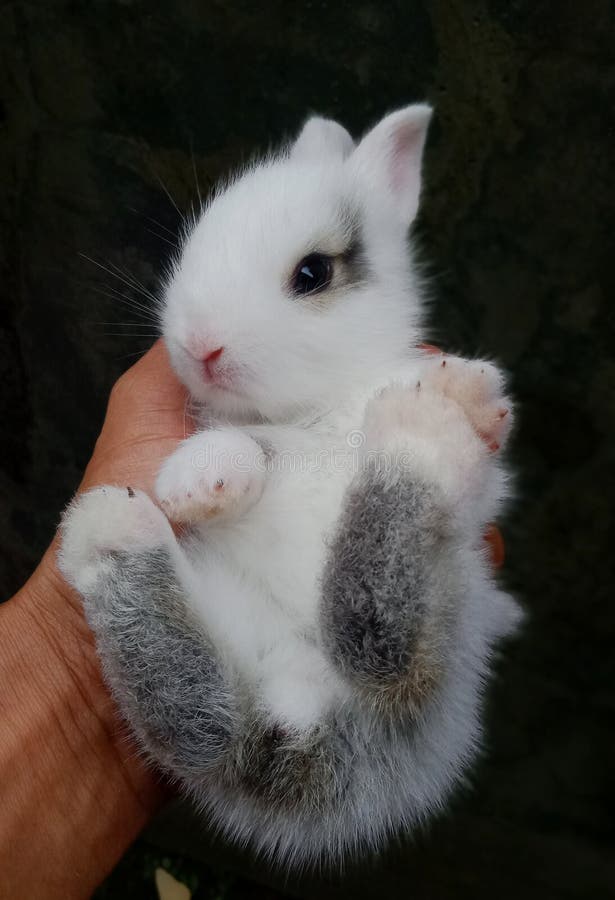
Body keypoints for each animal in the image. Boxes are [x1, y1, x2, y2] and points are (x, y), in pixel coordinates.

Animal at [58, 104, 522, 867]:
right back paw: (111, 533)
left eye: (312, 272)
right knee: (199, 723)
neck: (316, 407)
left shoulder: (483, 499)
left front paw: (466, 389)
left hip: (447, 632)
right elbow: (248, 446)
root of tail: (295, 721)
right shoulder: (250, 432)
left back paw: (422, 427)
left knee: (380, 644)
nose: (201, 346)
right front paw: (198, 484)